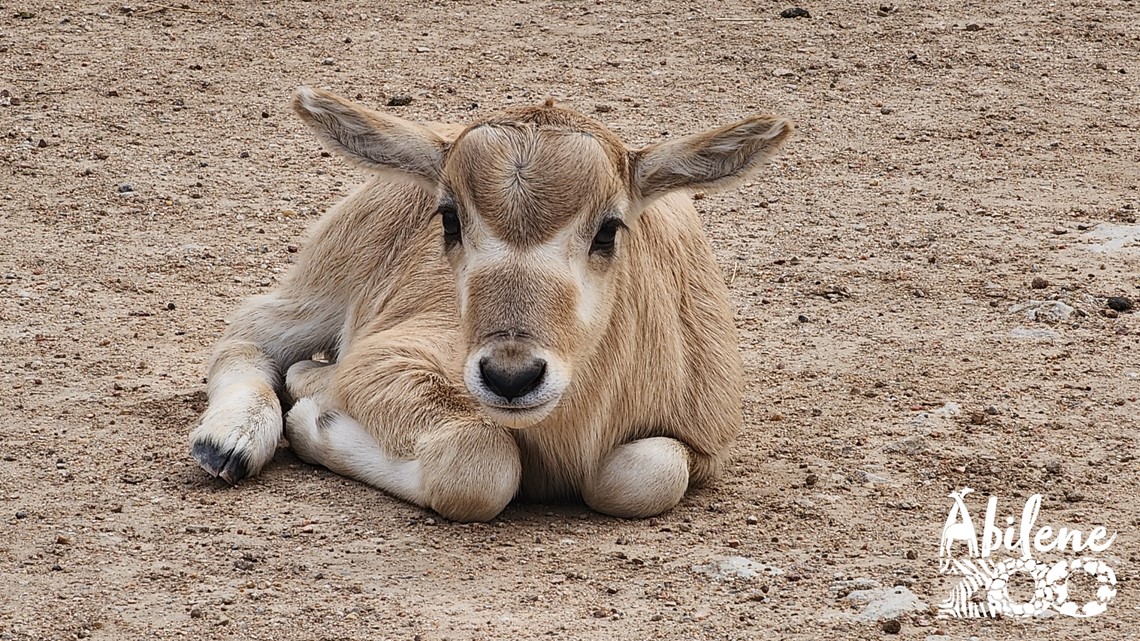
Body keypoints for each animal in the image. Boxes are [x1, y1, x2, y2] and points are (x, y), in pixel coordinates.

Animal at [189, 87, 792, 522]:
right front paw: (314, 416)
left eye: (609, 228)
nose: (512, 376)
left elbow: (648, 472)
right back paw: (229, 442)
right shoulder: (390, 358)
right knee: (251, 332)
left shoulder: (707, 439)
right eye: (450, 218)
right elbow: (482, 465)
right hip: (319, 288)